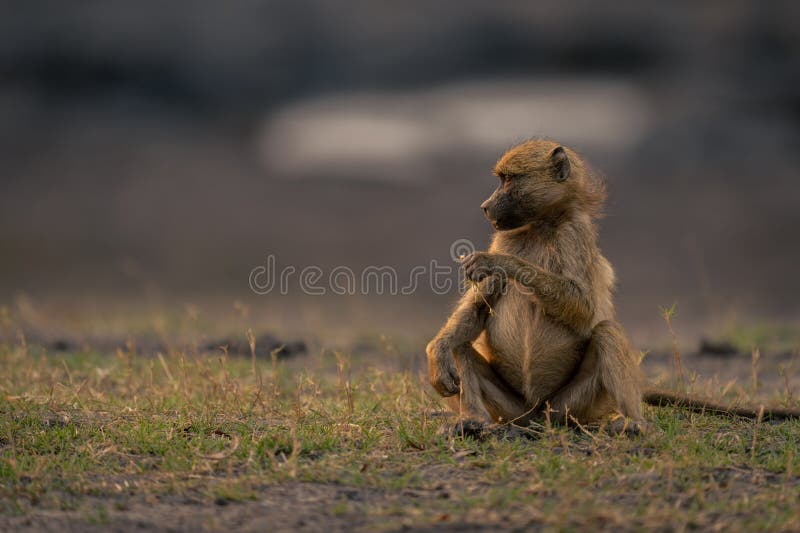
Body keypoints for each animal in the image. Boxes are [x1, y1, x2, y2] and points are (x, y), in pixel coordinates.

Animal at [426, 139, 799, 435]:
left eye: (509, 179)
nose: (485, 207)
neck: (543, 226)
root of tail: (535, 415)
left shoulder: (574, 234)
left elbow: (583, 308)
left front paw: (499, 264)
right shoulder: (506, 236)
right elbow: (479, 307)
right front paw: (437, 351)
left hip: (573, 407)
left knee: (606, 333)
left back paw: (635, 422)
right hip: (512, 410)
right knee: (462, 347)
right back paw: (472, 421)